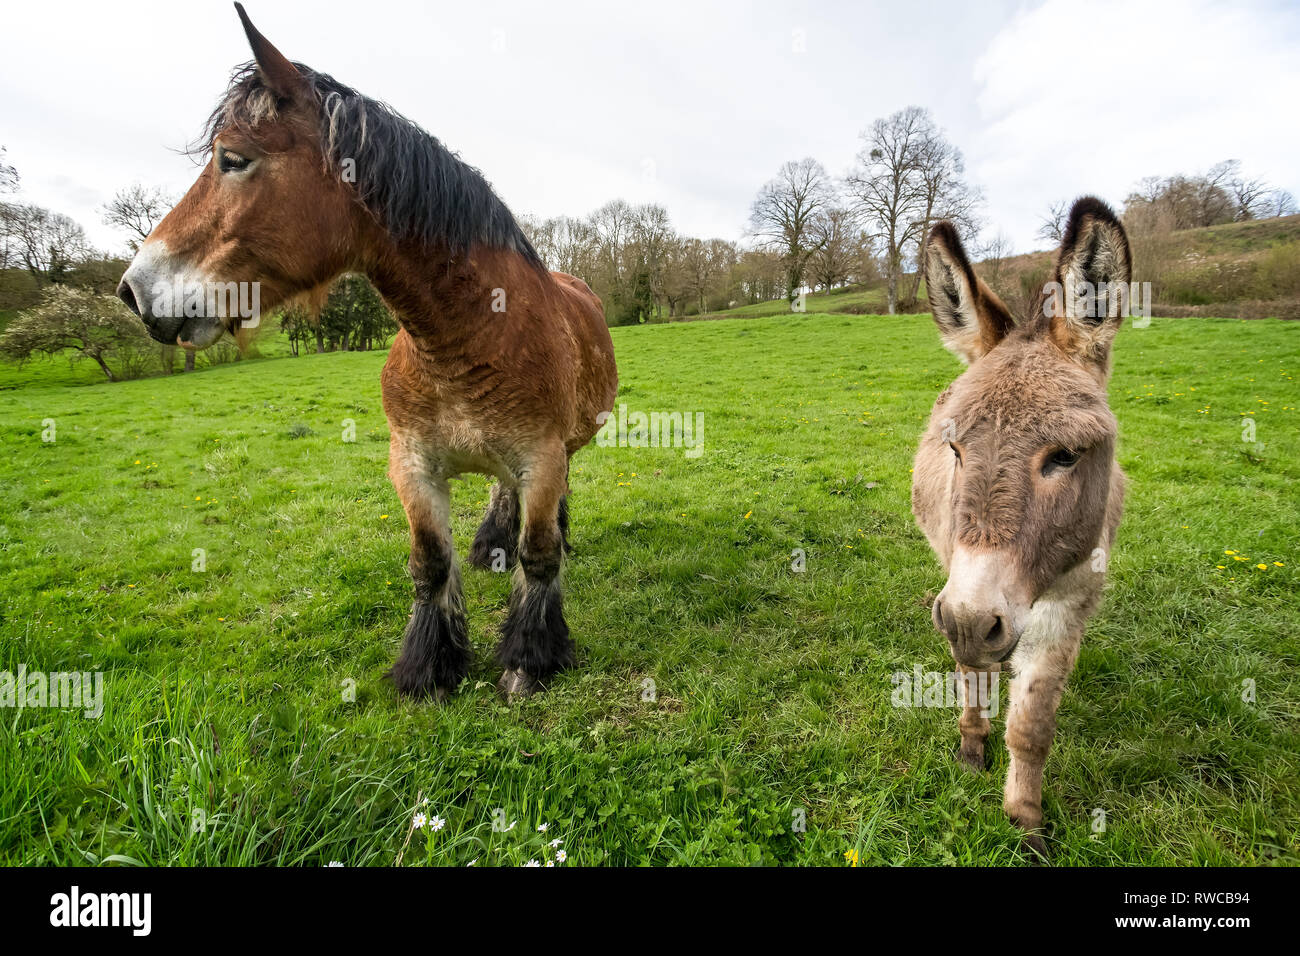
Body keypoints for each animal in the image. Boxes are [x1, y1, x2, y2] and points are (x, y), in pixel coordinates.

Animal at [116, 4, 618, 702]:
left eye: (233, 159)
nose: (133, 290)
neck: (464, 341)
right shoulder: (411, 467)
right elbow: (430, 564)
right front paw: (428, 667)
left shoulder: (542, 461)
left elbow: (540, 554)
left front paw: (530, 656)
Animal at [911, 197, 1131, 857]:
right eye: (955, 449)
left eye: (1065, 456)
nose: (967, 620)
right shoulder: (963, 589)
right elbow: (973, 673)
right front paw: (973, 751)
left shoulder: (1069, 605)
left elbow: (1033, 725)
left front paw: (1025, 822)